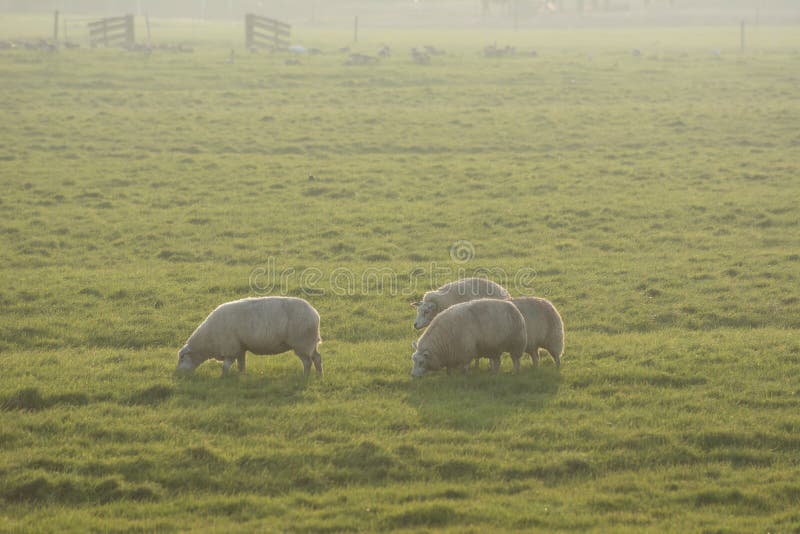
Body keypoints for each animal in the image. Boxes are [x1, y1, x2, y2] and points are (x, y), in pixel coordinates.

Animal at [177, 297, 322, 377]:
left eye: (182, 357)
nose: (177, 374)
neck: (208, 341)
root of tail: (315, 313)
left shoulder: (231, 348)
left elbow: (225, 366)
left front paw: (222, 378)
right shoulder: (240, 348)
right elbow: (241, 365)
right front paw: (242, 376)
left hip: (302, 343)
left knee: (307, 362)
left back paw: (304, 377)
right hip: (310, 343)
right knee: (317, 358)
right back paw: (319, 375)